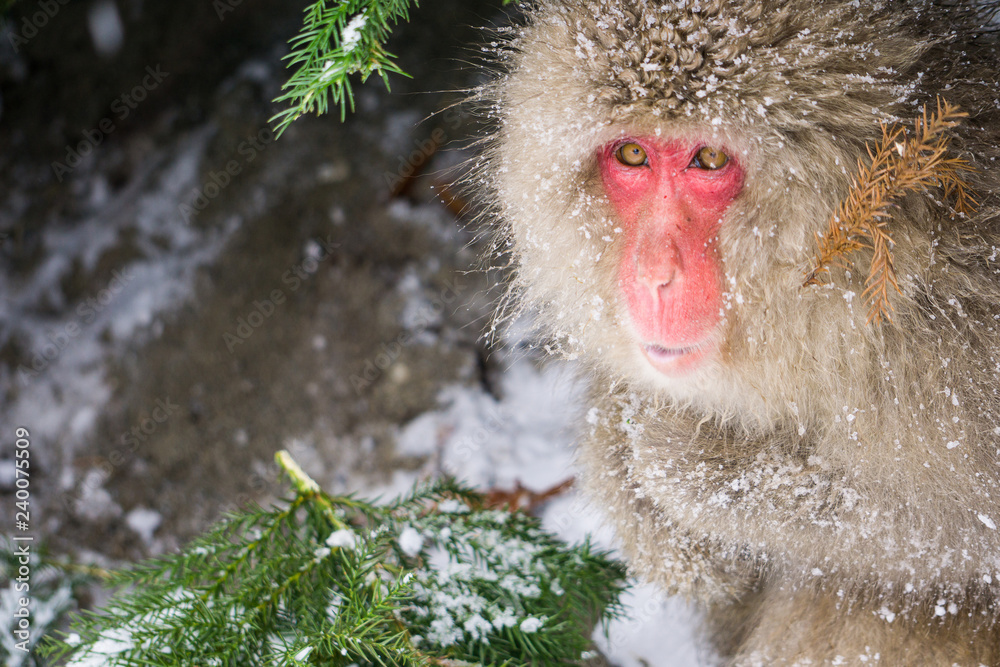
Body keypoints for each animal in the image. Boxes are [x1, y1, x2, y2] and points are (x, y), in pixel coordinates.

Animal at [480, 0, 1000, 663]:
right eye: (632, 156)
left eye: (709, 160)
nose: (653, 274)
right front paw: (623, 456)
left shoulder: (958, 357)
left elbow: (955, 528)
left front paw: (685, 463)